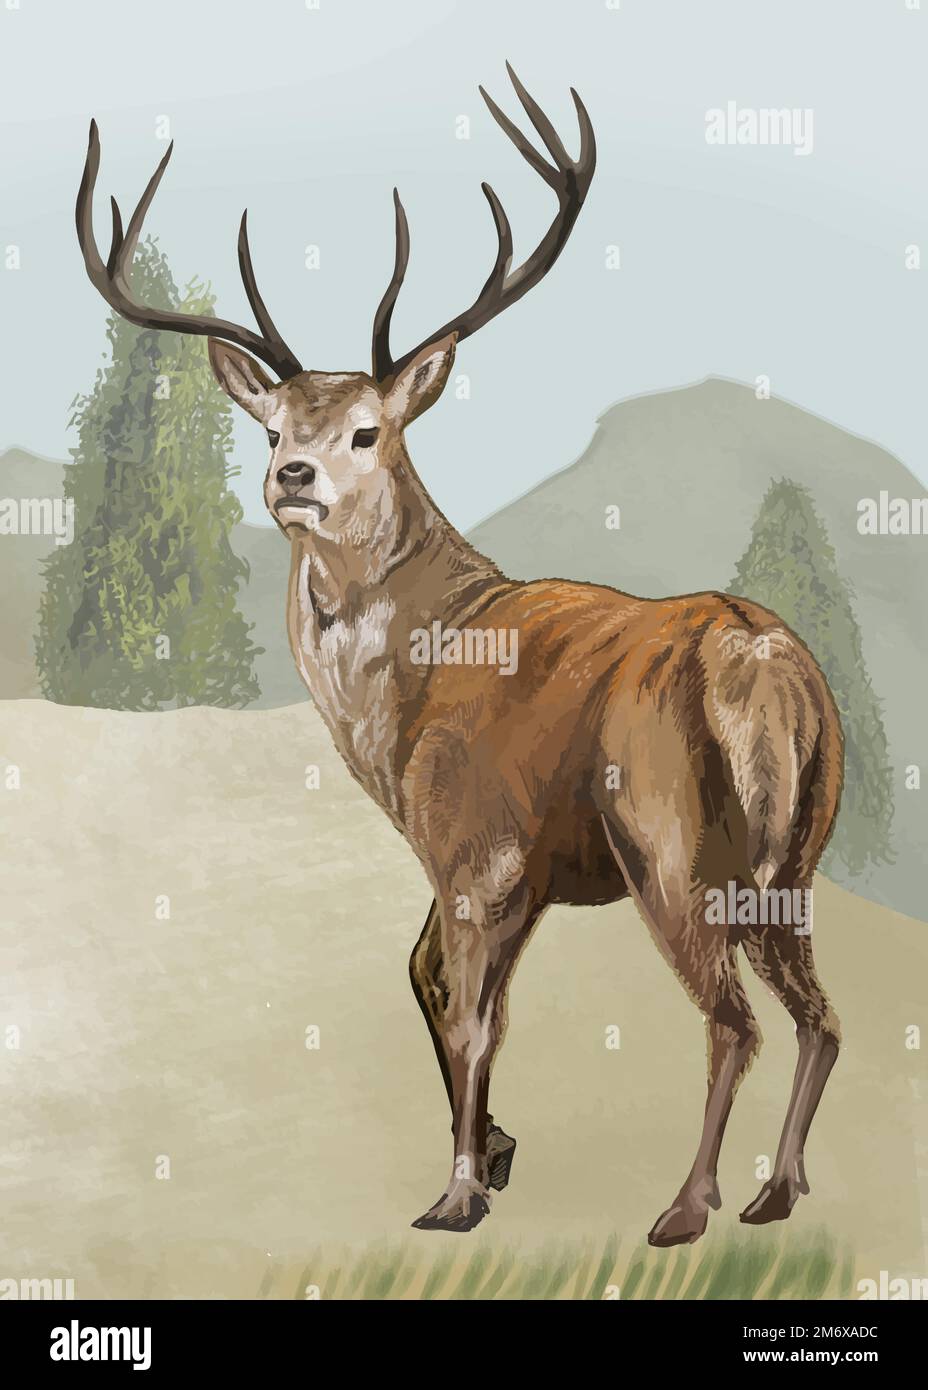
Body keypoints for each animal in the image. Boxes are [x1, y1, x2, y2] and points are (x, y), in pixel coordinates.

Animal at [76, 65, 843, 1245]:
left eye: (366, 431)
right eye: (270, 428)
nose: (291, 476)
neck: (400, 705)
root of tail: (759, 662)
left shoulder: (473, 842)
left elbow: (467, 1009)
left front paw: (459, 1190)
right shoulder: (512, 873)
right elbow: (433, 980)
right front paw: (499, 1150)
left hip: (668, 842)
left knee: (733, 1019)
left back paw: (687, 1205)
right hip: (796, 854)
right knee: (821, 1015)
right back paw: (776, 1189)